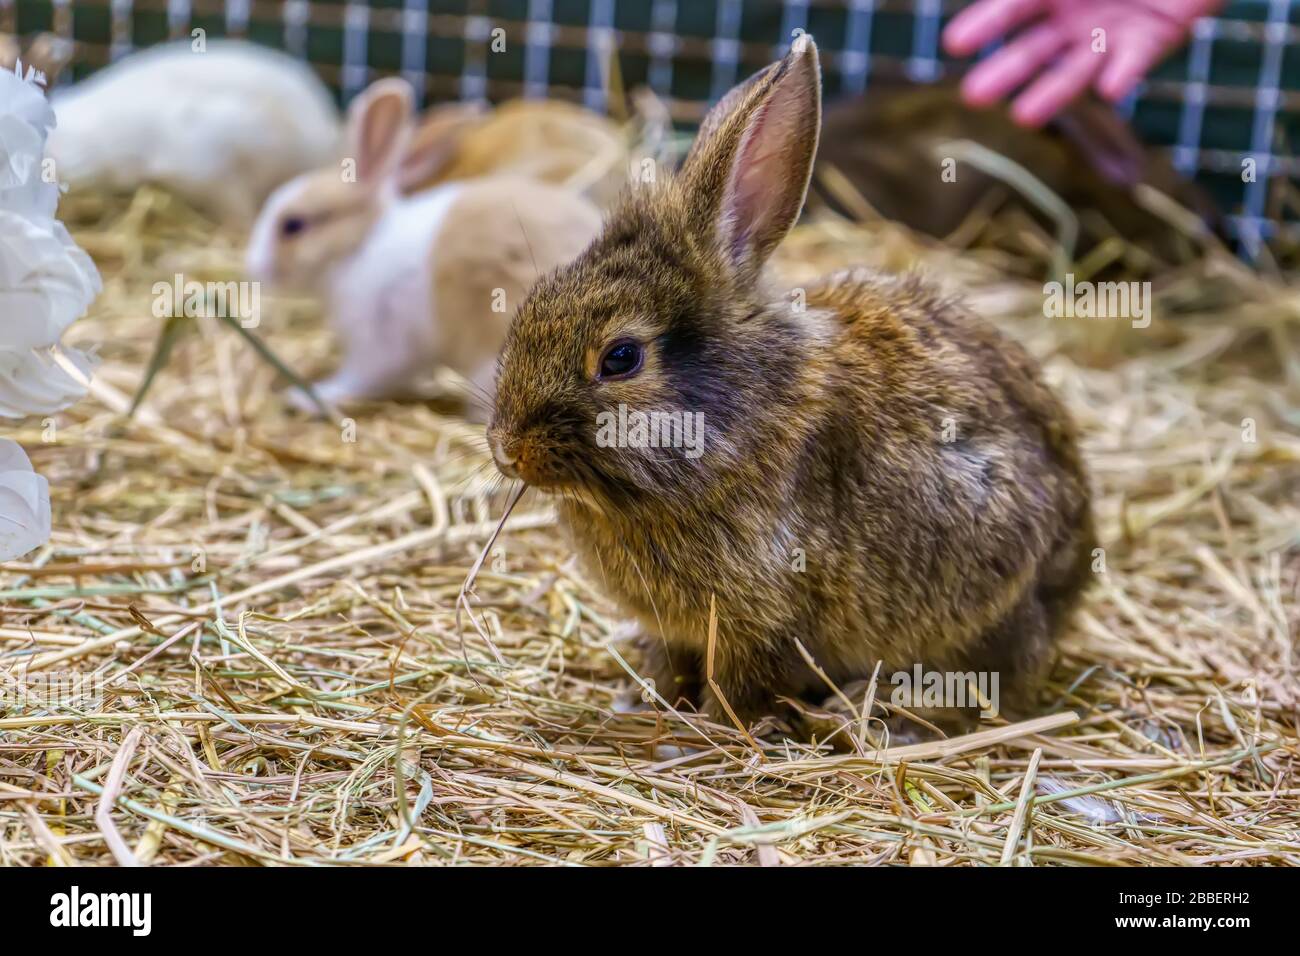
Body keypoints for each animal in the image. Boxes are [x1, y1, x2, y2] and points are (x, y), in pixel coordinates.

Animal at [245, 77, 604, 417]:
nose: (253, 266)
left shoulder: (378, 344)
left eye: (293, 225)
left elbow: (359, 378)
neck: (358, 248)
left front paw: (307, 396)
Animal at [486, 36, 1096, 739]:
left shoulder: (762, 614)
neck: (741, 416)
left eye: (620, 358)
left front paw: (719, 729)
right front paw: (651, 699)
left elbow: (742, 681)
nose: (506, 449)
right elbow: (671, 660)